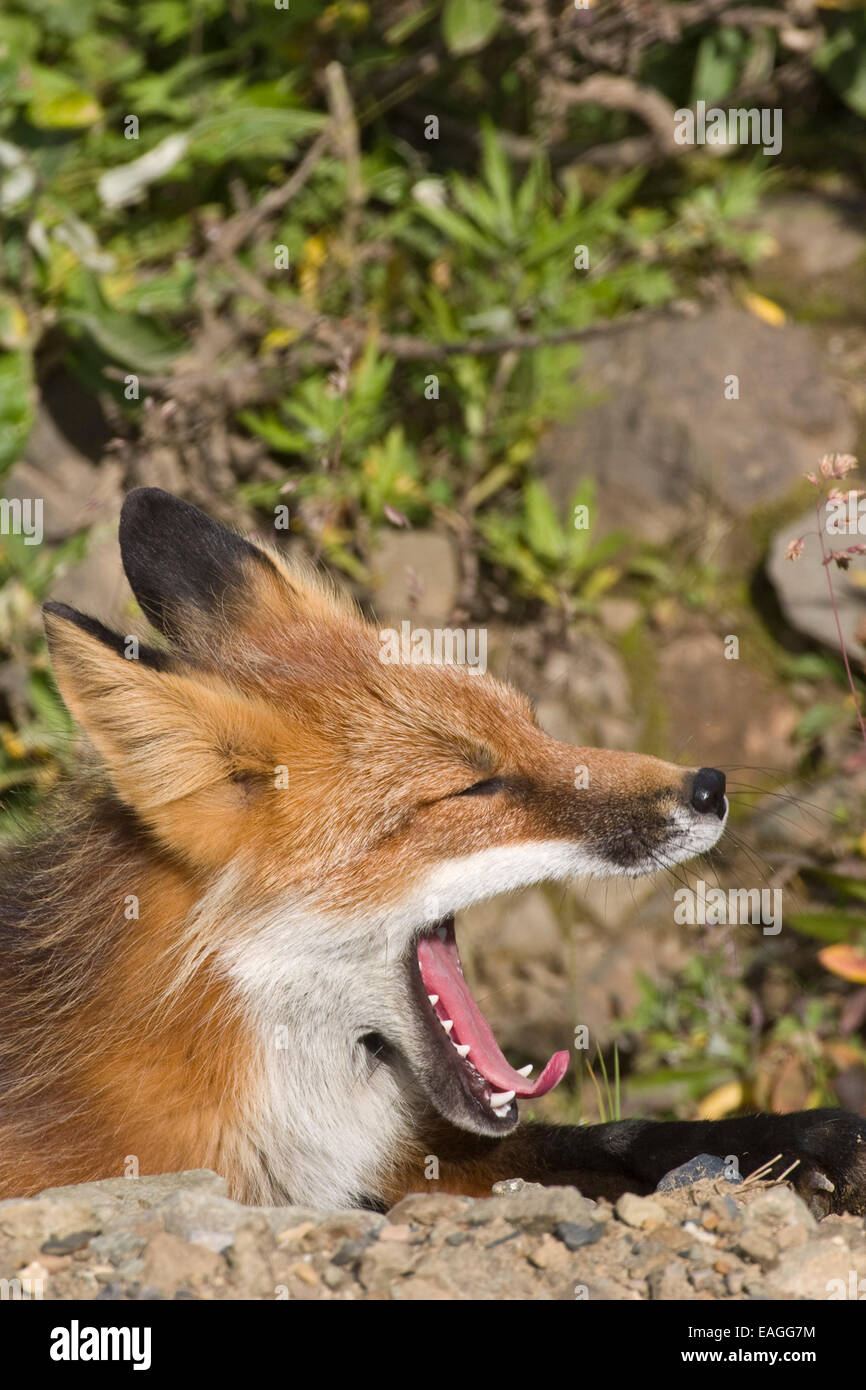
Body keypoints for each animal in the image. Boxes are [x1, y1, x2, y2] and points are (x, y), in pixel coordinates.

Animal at [1, 487, 864, 1216]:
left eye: (535, 728)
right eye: (474, 788)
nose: (709, 788)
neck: (219, 1033)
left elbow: (622, 1138)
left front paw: (804, 1140)